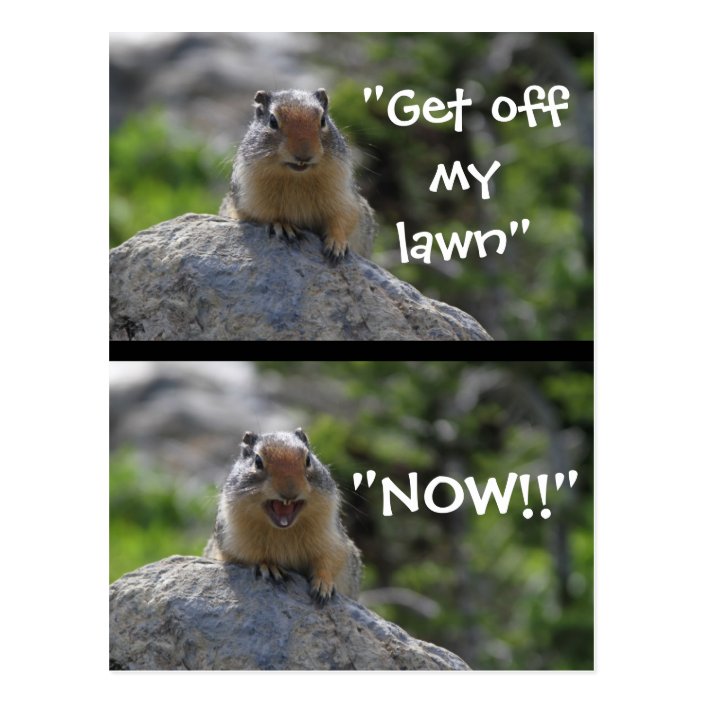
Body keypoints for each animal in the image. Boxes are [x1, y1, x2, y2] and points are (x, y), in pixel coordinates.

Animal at [204, 428, 362, 604]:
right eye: (257, 461)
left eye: (308, 459)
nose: (290, 491)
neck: (283, 531)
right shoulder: (232, 541)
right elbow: (249, 556)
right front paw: (269, 566)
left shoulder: (332, 537)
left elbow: (329, 560)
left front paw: (323, 585)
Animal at [219, 88, 376, 262]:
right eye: (272, 121)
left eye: (323, 120)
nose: (304, 155)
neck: (297, 178)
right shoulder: (249, 198)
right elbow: (263, 214)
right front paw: (283, 225)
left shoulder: (344, 194)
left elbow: (343, 218)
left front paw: (337, 244)